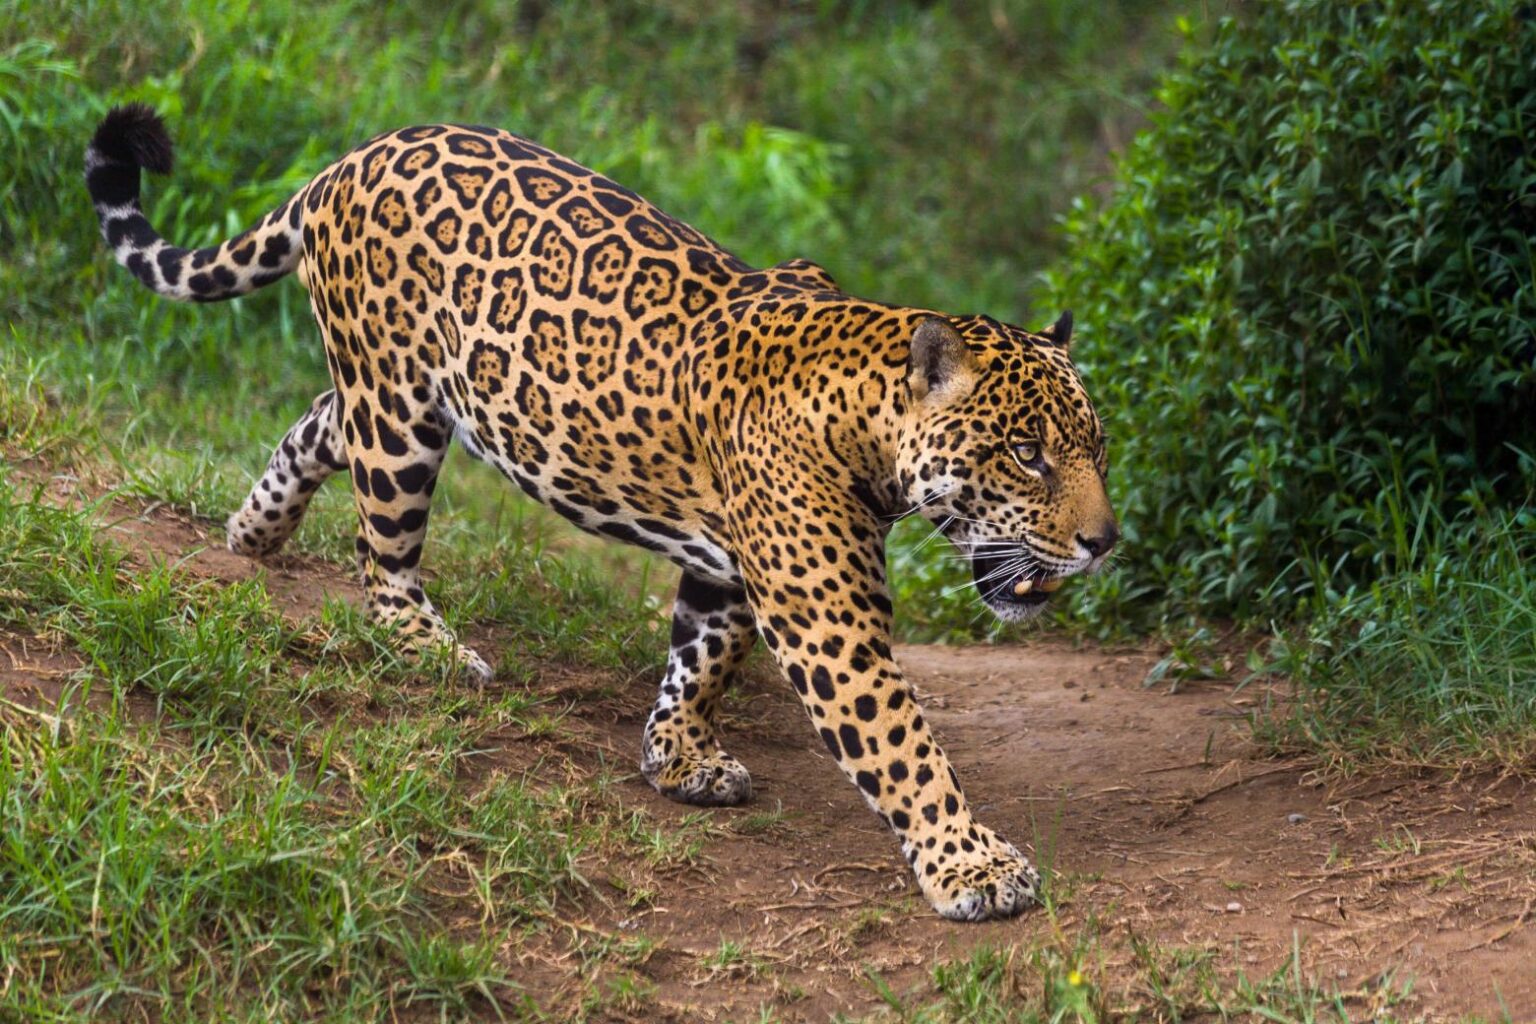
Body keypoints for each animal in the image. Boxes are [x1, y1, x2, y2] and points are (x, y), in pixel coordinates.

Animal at [86, 104, 1118, 921]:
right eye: (1027, 453)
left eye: (1097, 449)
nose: (1103, 542)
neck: (862, 414)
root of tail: (352, 158)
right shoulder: (827, 618)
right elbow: (903, 745)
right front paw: (971, 867)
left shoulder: (725, 564)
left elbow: (701, 658)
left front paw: (679, 756)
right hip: (402, 413)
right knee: (381, 554)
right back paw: (428, 648)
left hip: (393, 394)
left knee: (319, 422)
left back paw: (254, 531)